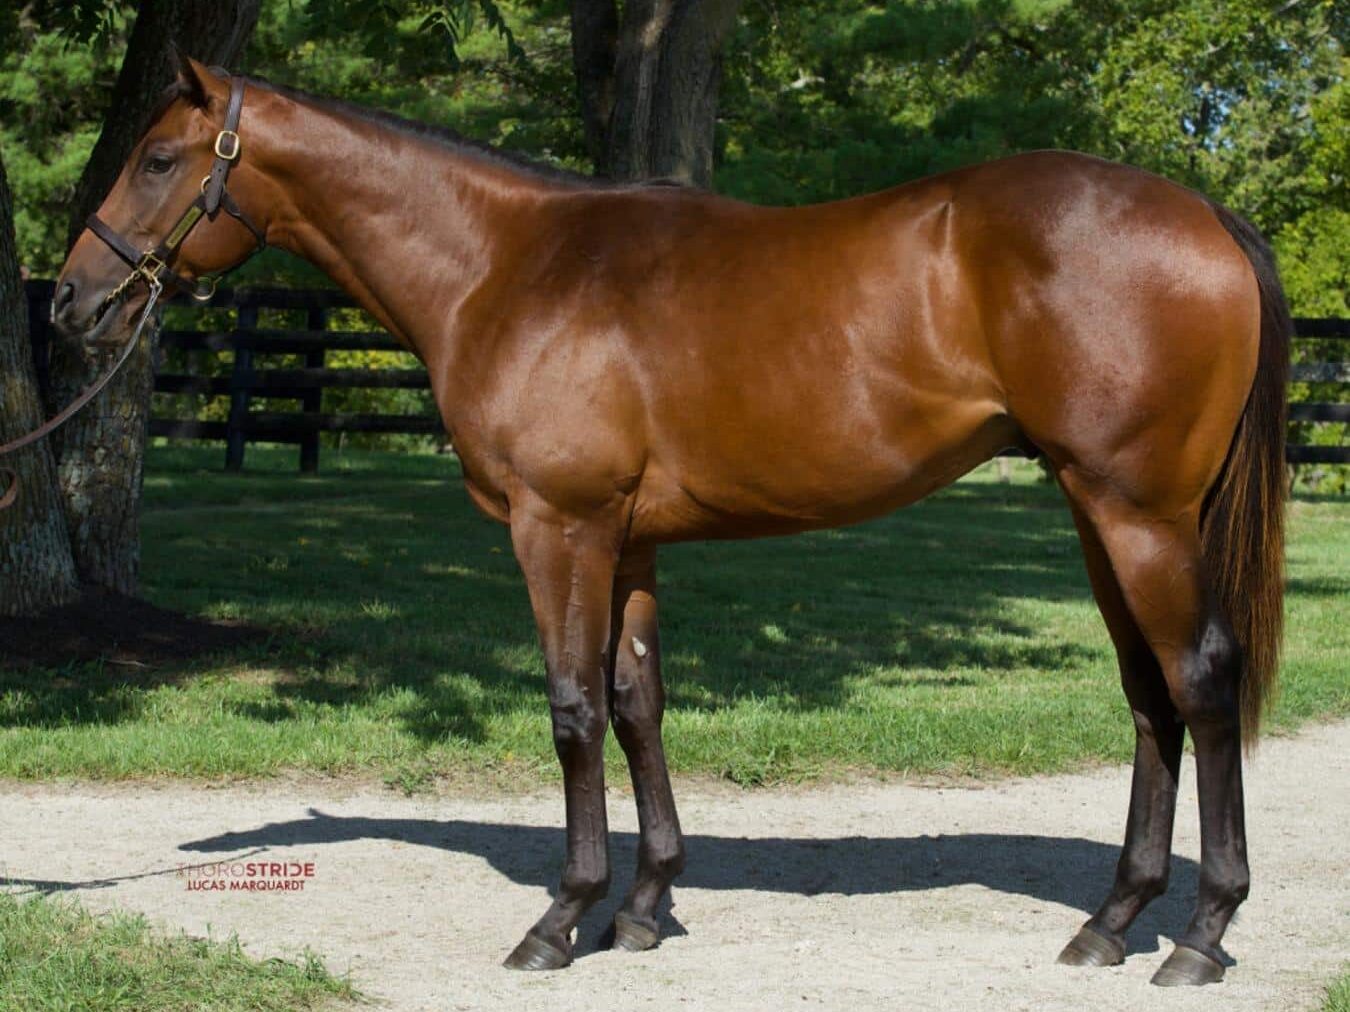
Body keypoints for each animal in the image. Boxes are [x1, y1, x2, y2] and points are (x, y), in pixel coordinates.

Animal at [52, 54, 1289, 986]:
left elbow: (571, 707)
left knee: (1201, 680)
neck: (507, 265)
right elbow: (638, 702)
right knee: (1149, 696)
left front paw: (562, 917)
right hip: (1095, 512)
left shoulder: (558, 528)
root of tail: (1206, 213)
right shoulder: (631, 539)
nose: (70, 300)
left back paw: (1201, 931)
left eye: (157, 159)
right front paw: (645, 905)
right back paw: (1112, 922)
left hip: (1138, 514)